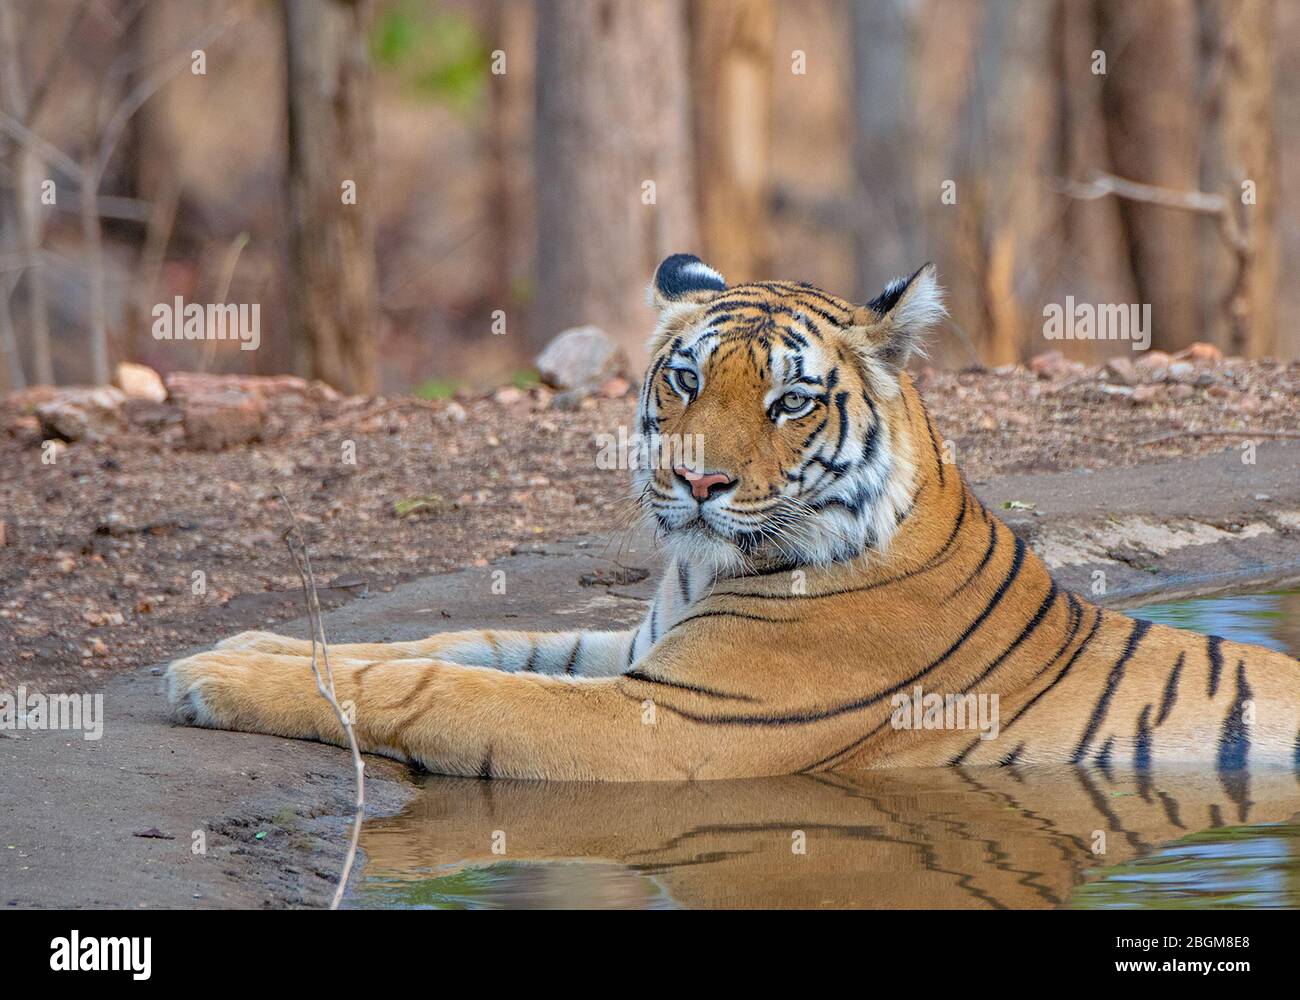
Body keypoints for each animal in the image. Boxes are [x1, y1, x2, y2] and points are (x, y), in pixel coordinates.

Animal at [166, 253, 1300, 781]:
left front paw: (211, 678)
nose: (699, 484)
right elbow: (462, 641)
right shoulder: (642, 650)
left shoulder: (669, 722)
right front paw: (253, 641)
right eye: (684, 379)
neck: (704, 568)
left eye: (790, 401)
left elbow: (441, 682)